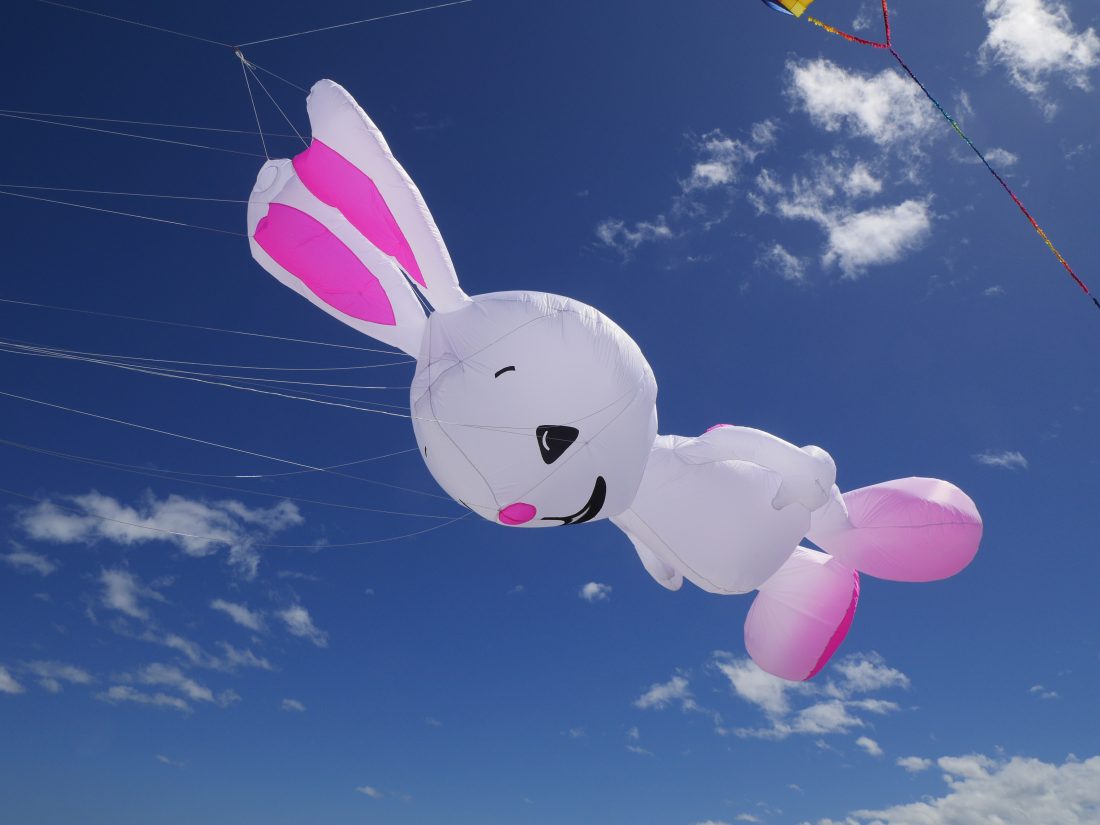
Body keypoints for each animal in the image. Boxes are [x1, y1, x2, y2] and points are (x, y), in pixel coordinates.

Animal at [247, 80, 983, 681]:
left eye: (554, 440)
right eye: (447, 474)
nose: (515, 512)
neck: (641, 485)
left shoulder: (701, 451)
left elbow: (787, 459)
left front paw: (805, 477)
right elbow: (667, 561)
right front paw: (668, 573)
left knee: (840, 517)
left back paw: (930, 523)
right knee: (821, 563)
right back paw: (820, 620)